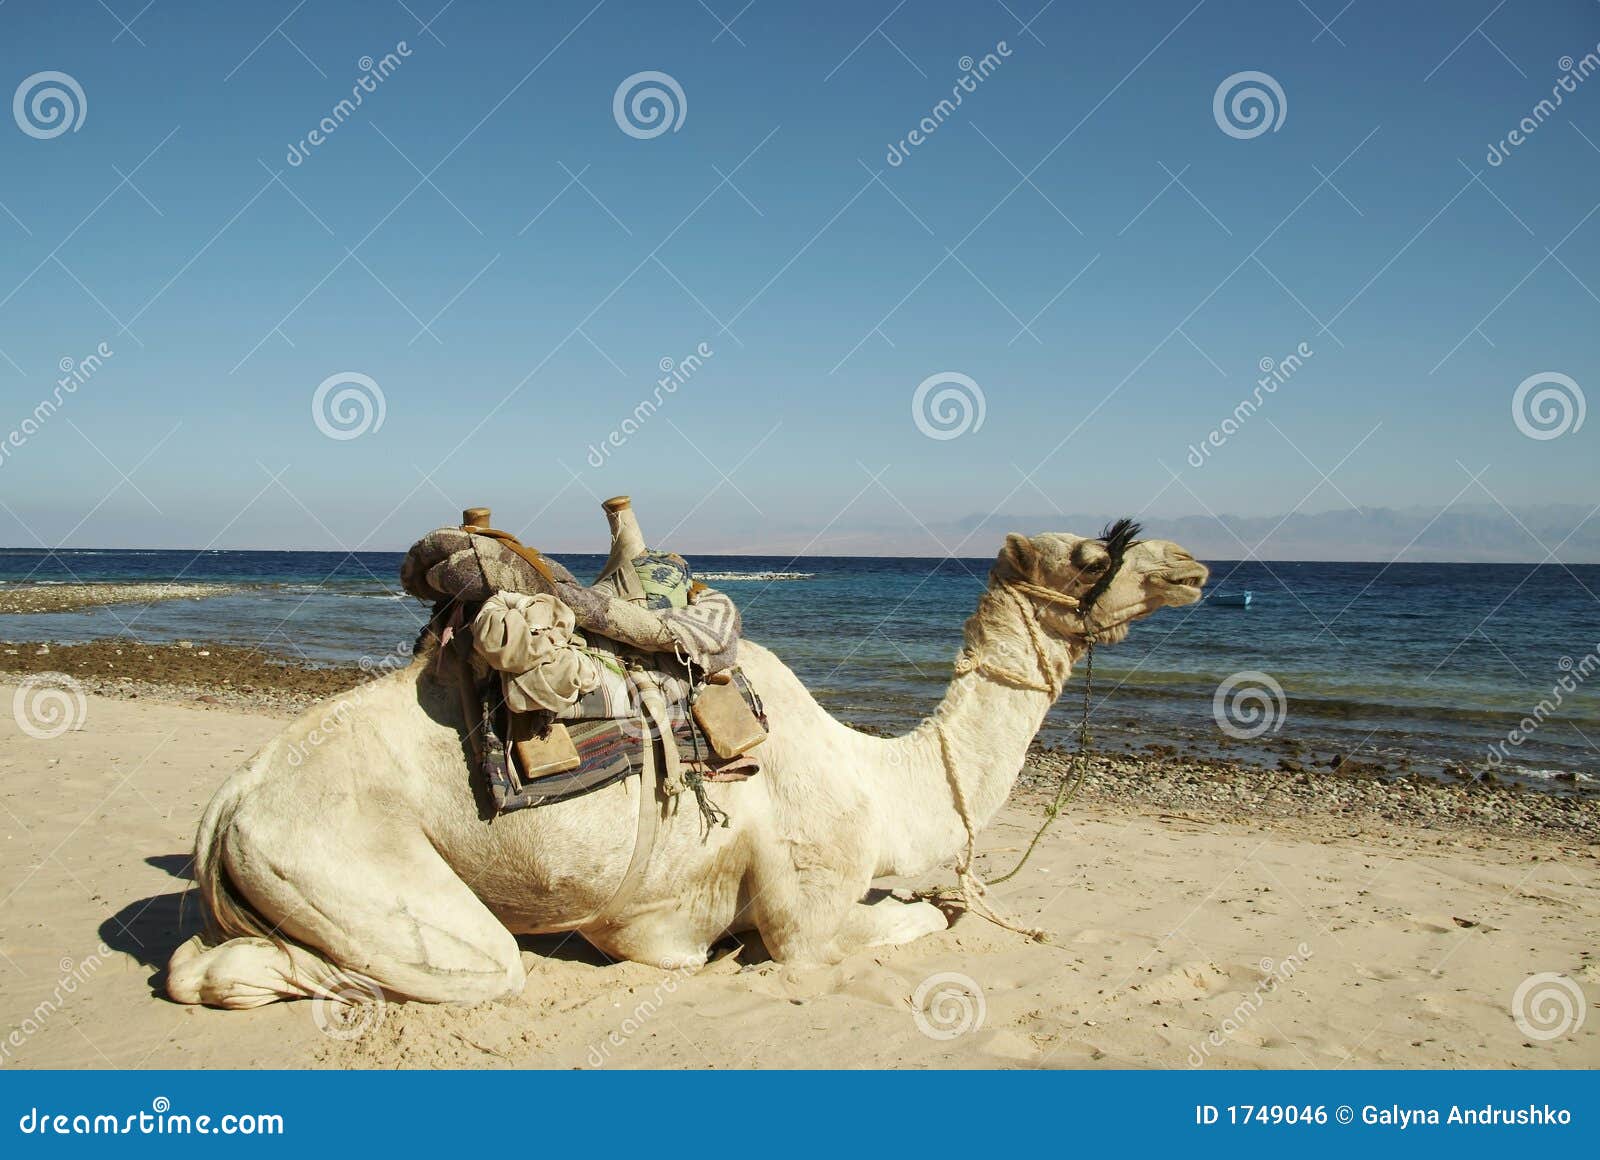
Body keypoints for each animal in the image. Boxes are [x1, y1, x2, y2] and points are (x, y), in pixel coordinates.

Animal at [166, 529, 1207, 1009]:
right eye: (1091, 553)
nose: (1193, 565)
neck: (879, 780)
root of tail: (226, 804)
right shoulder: (805, 919)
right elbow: (900, 925)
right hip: (346, 865)